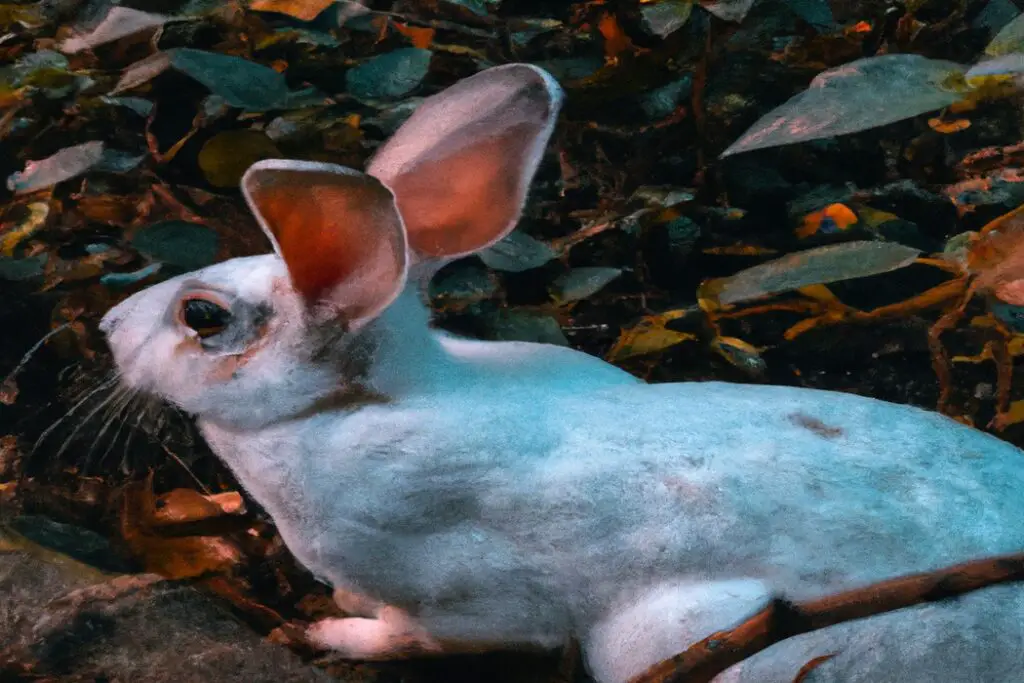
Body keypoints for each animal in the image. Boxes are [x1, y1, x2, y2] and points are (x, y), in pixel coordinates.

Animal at [98, 62, 1024, 683]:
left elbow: (417, 633)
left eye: (201, 317)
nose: (107, 327)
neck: (343, 404)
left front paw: (330, 634)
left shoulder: (453, 593)